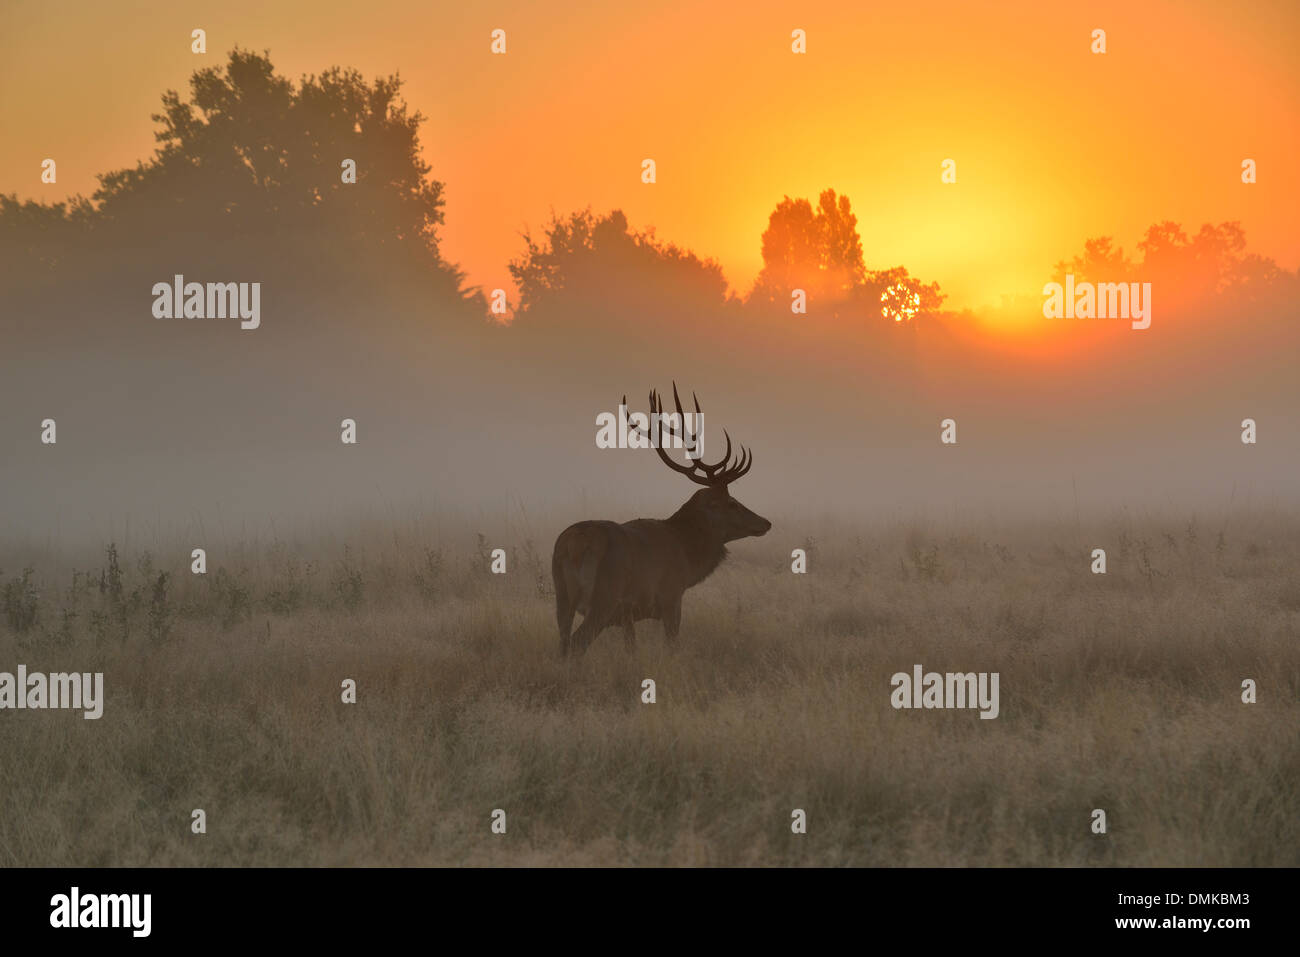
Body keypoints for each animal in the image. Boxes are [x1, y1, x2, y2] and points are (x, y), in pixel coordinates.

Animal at [552, 385, 771, 656]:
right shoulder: (671, 596)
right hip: (604, 596)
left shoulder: (628, 615)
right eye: (732, 503)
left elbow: (631, 648)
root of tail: (575, 544)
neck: (688, 557)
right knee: (576, 643)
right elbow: (672, 644)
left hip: (561, 595)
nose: (765, 522)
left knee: (562, 644)